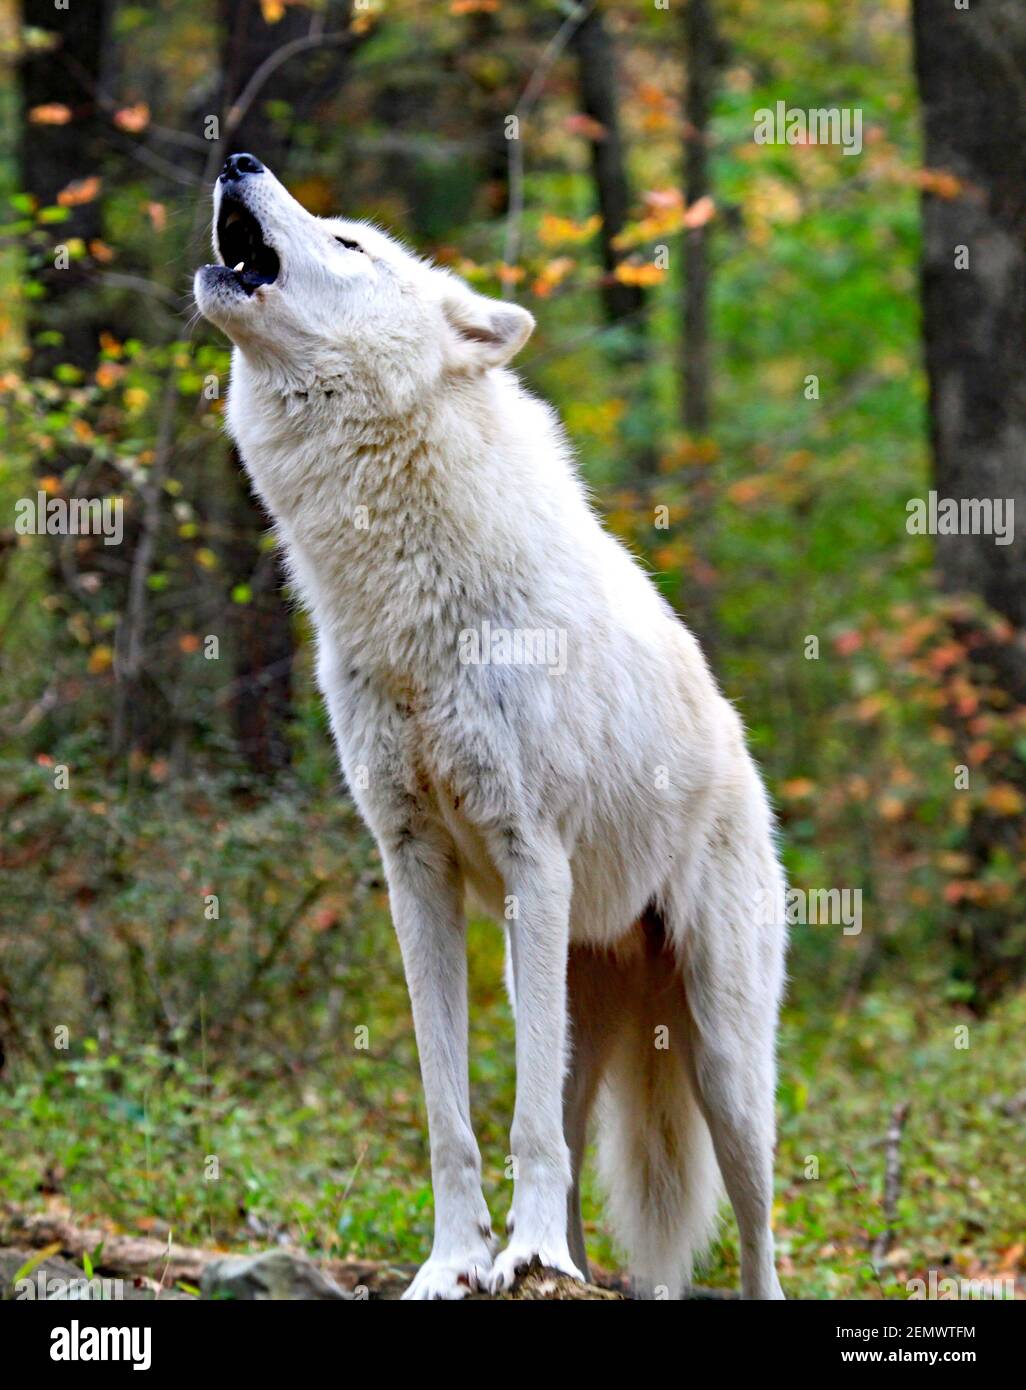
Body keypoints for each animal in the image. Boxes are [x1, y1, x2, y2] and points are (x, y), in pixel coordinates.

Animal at [195, 153, 787, 1300]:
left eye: (349, 243)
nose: (238, 160)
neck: (397, 598)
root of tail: (743, 754)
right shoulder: (412, 865)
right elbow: (452, 1116)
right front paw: (458, 1261)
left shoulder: (531, 855)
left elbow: (524, 1130)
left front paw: (526, 1253)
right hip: (568, 993)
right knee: (580, 1146)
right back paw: (579, 1268)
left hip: (722, 1058)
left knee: (751, 1223)